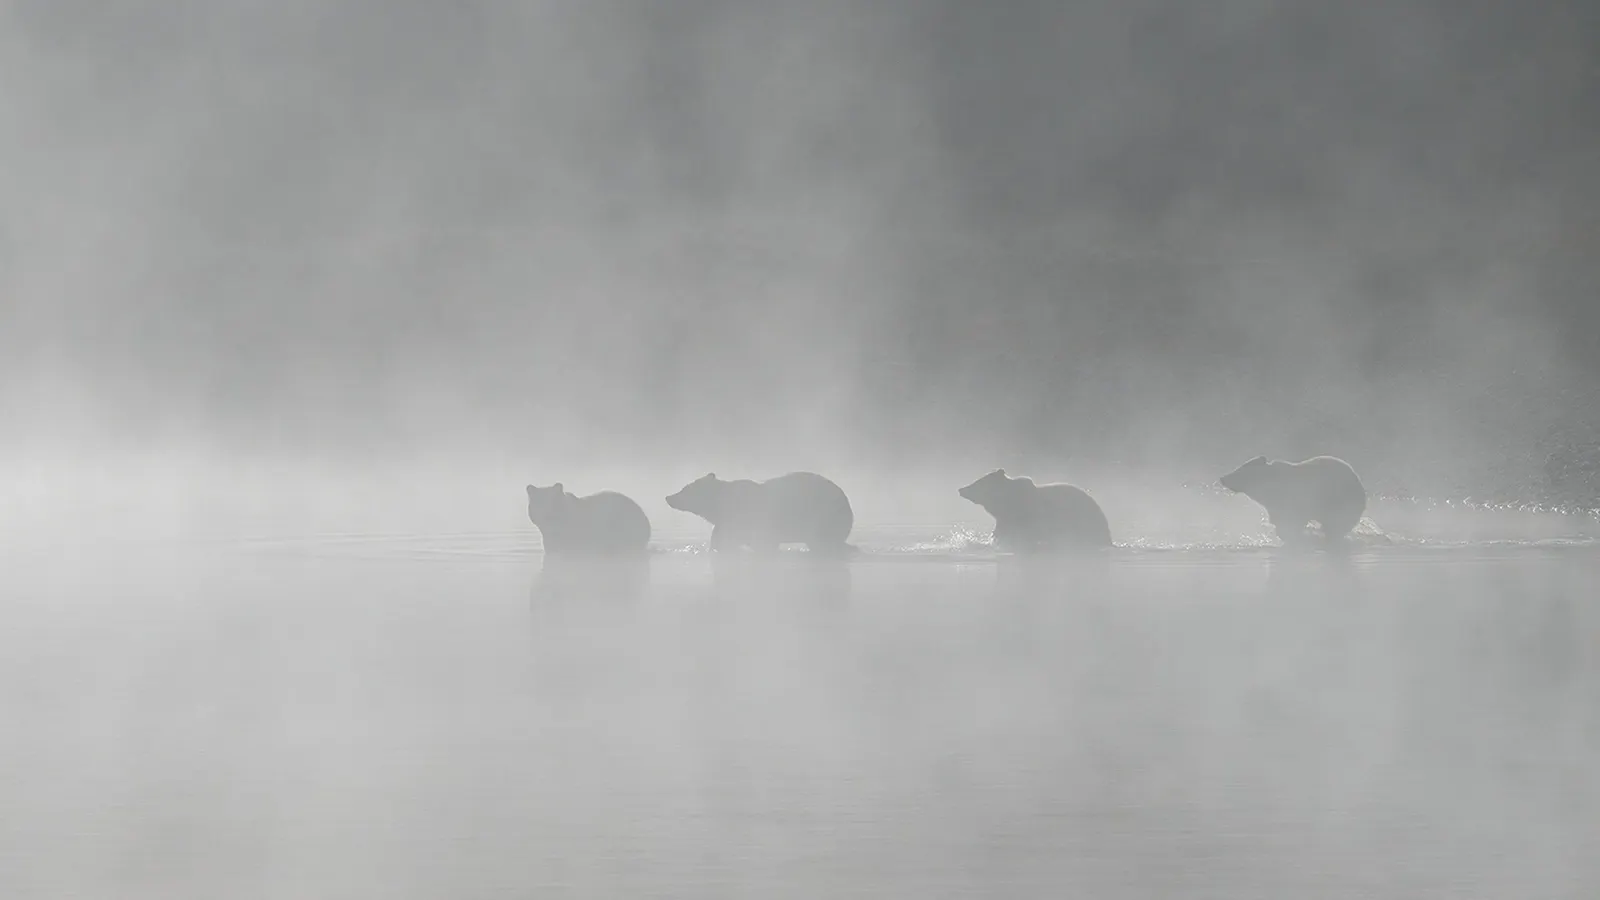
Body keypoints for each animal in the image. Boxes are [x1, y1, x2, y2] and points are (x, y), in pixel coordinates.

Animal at [665, 471, 855, 555]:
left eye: (685, 489)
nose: (668, 497)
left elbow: (763, 543)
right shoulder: (727, 524)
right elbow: (721, 542)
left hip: (825, 517)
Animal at [1219, 455, 1367, 545]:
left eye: (1238, 470)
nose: (1223, 478)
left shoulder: (1294, 502)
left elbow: (1292, 524)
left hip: (1341, 499)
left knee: (1337, 525)